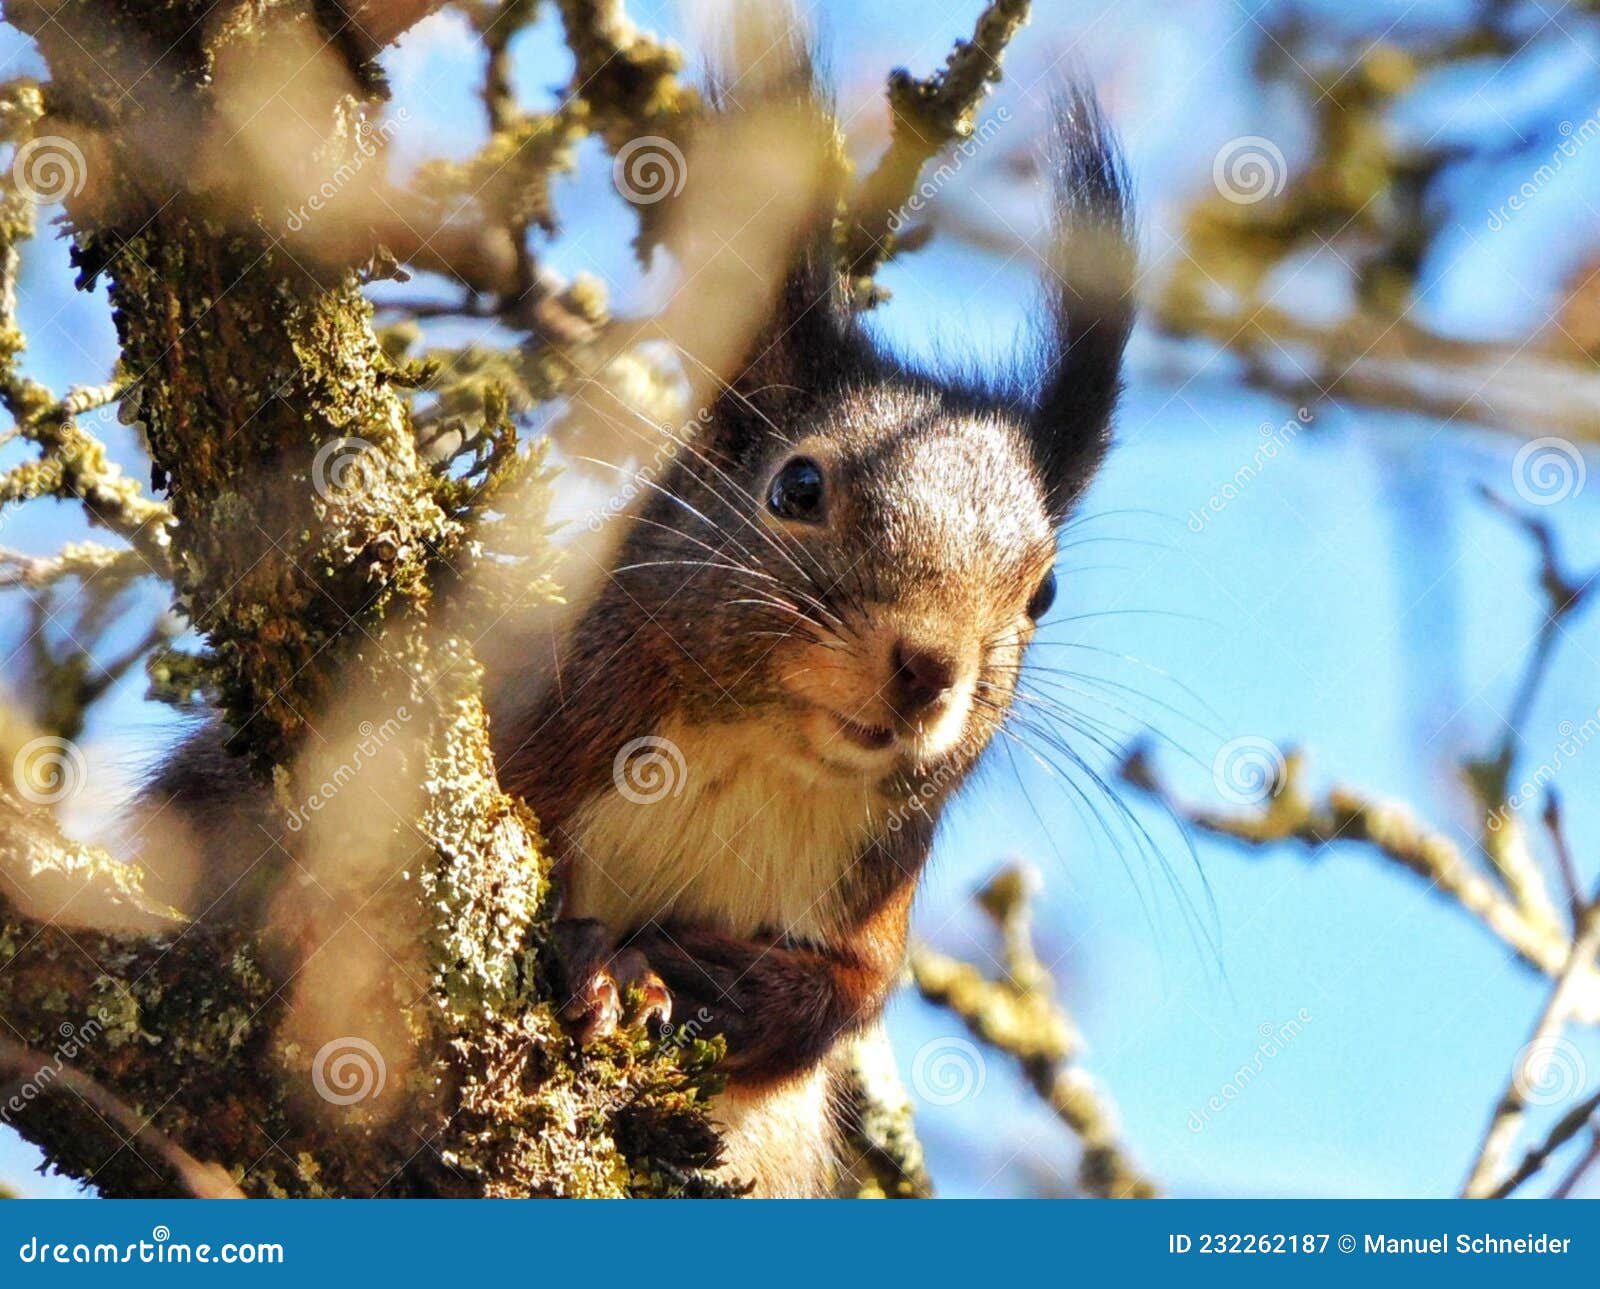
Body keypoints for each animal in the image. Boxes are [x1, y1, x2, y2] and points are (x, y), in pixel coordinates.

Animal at [138, 61, 1136, 1197]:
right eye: (797, 486)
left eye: (1043, 590)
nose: (928, 666)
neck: (761, 754)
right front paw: (592, 961)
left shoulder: (873, 897)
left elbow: (846, 996)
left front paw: (700, 980)